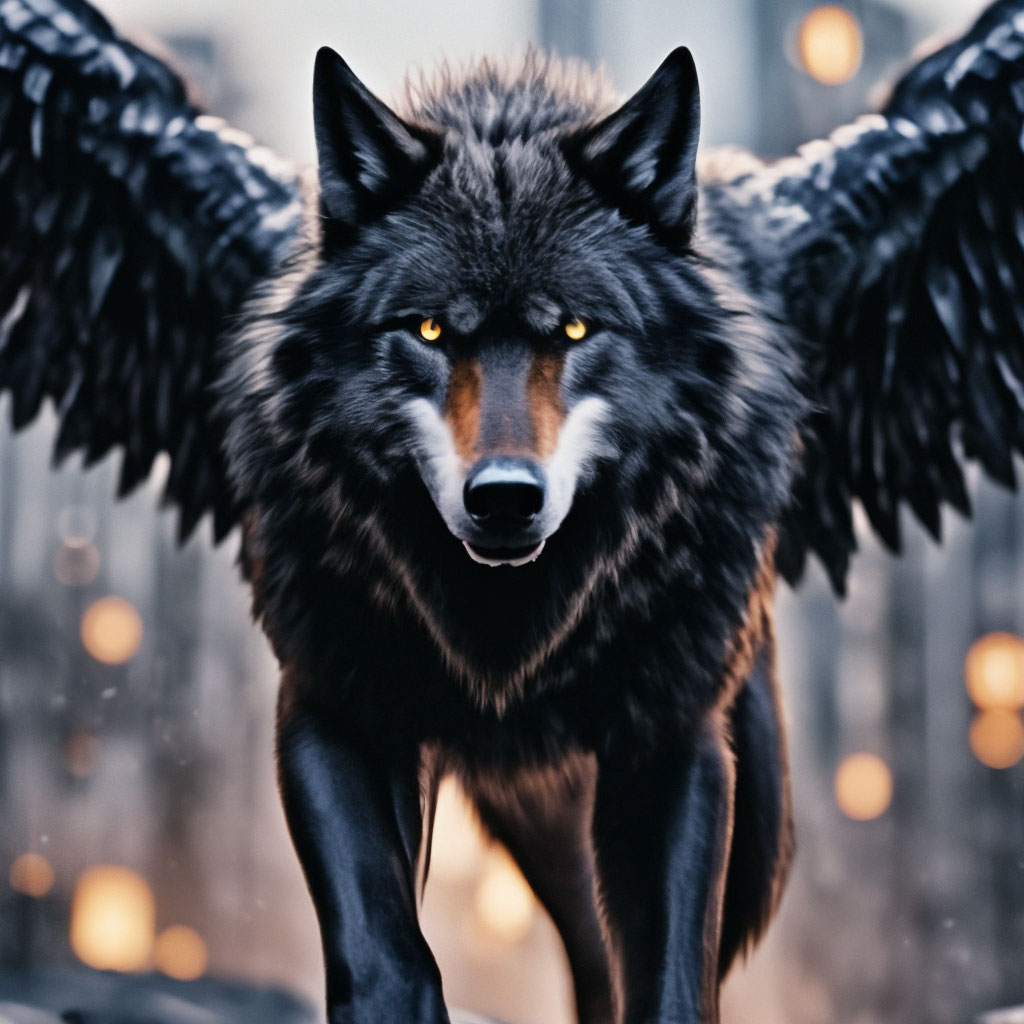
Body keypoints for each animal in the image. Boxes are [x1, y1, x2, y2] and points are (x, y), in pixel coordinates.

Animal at [3, 0, 1024, 1021]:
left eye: (573, 328)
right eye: (427, 330)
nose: (503, 498)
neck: (508, 633)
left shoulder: (669, 742)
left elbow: (667, 983)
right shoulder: (339, 703)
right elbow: (386, 956)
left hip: (736, 817)